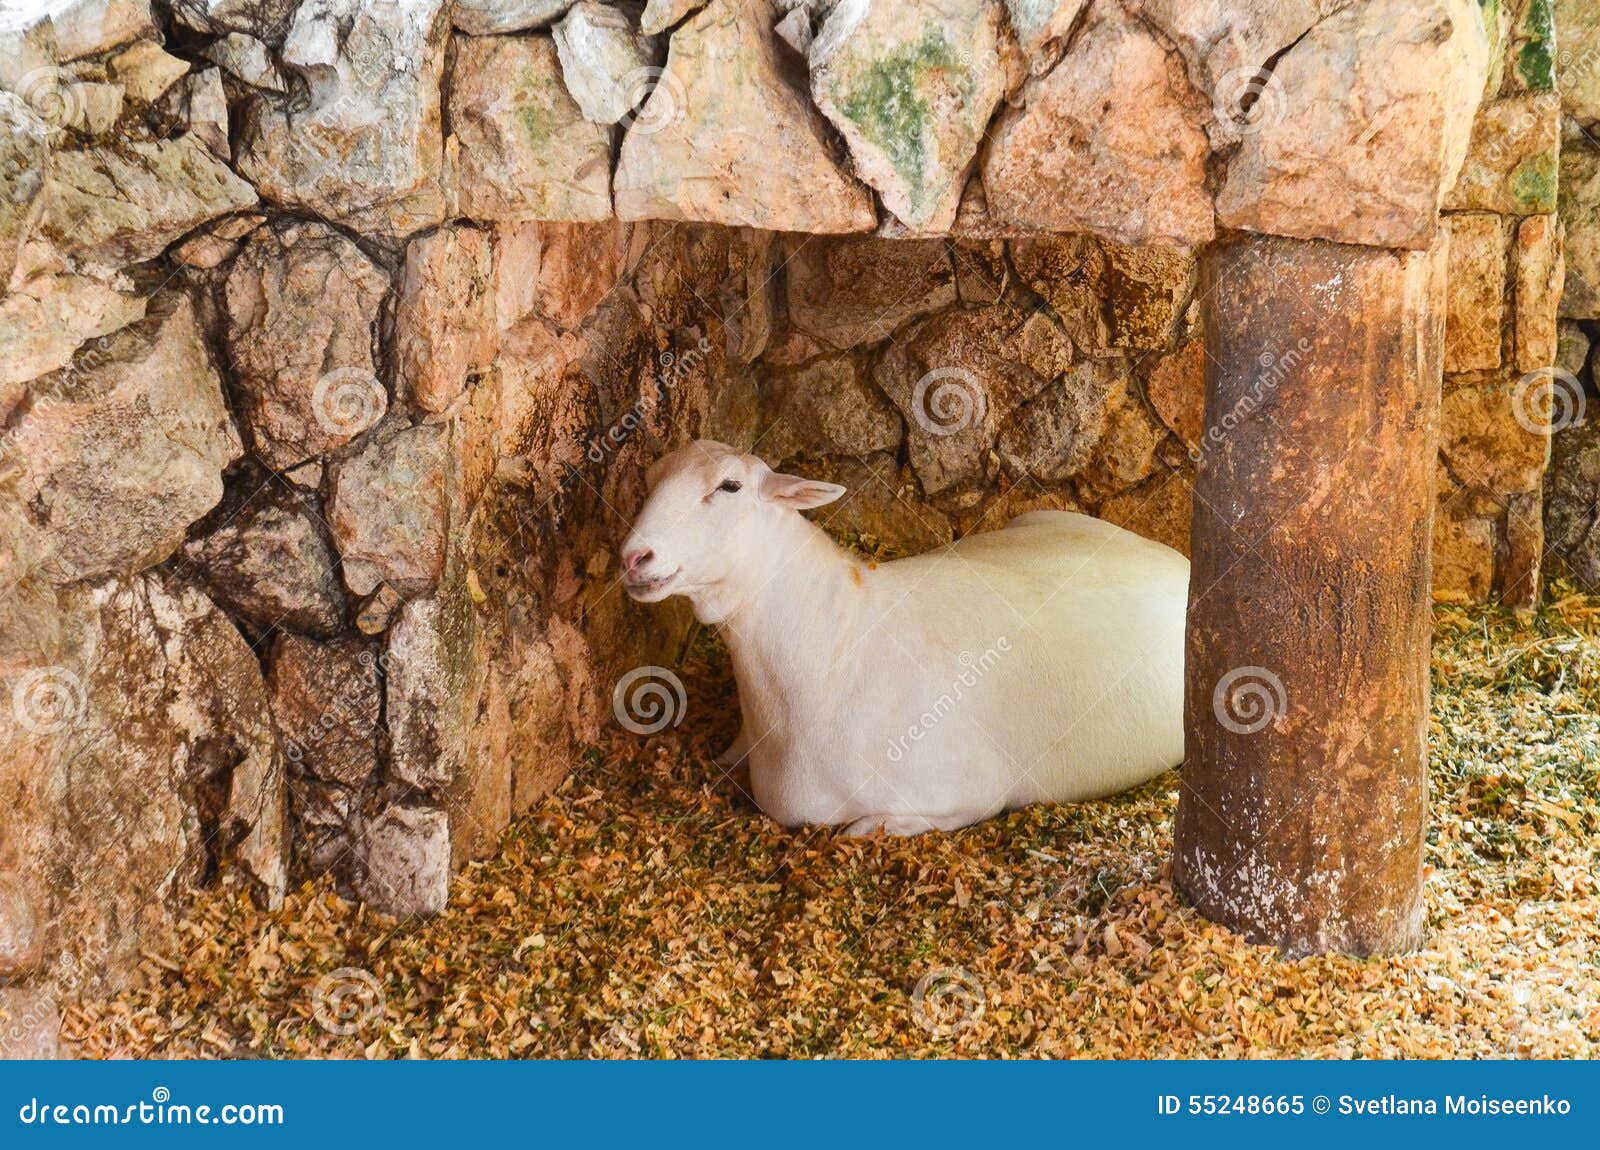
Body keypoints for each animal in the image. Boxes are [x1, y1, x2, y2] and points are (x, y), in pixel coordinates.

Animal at [619, 440, 1189, 835]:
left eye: (730, 487)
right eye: (649, 477)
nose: (633, 557)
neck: (833, 646)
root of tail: (1181, 563)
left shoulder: (964, 792)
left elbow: (867, 827)